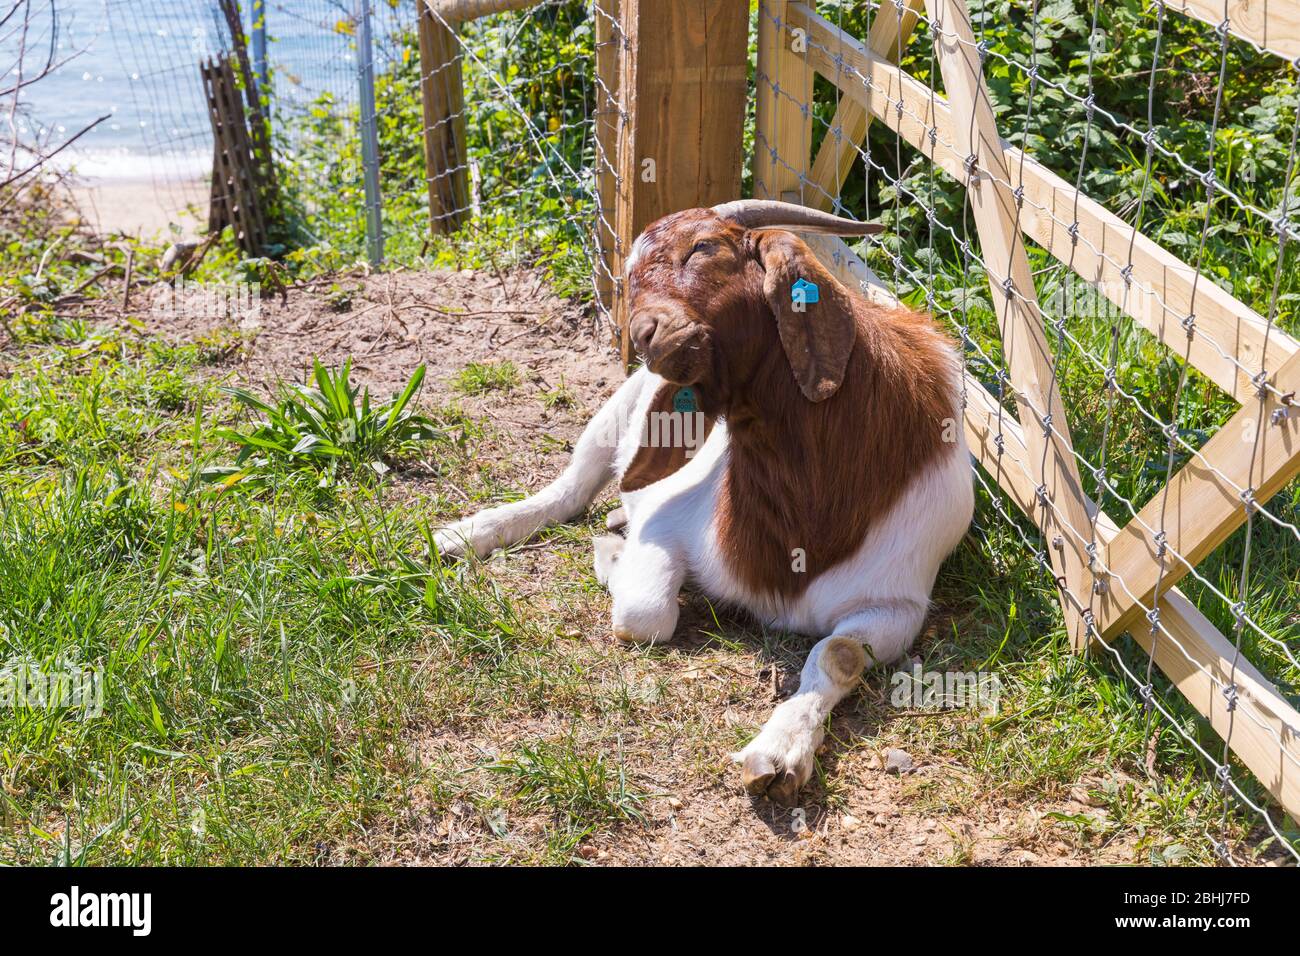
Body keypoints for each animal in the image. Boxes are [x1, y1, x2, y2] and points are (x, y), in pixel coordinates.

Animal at [434, 200, 974, 805]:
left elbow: (838, 654)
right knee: (568, 493)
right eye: (630, 276)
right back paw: (466, 533)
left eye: (704, 246)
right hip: (614, 414)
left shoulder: (897, 602)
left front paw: (779, 756)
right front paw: (611, 558)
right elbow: (644, 615)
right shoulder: (667, 526)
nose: (644, 335)